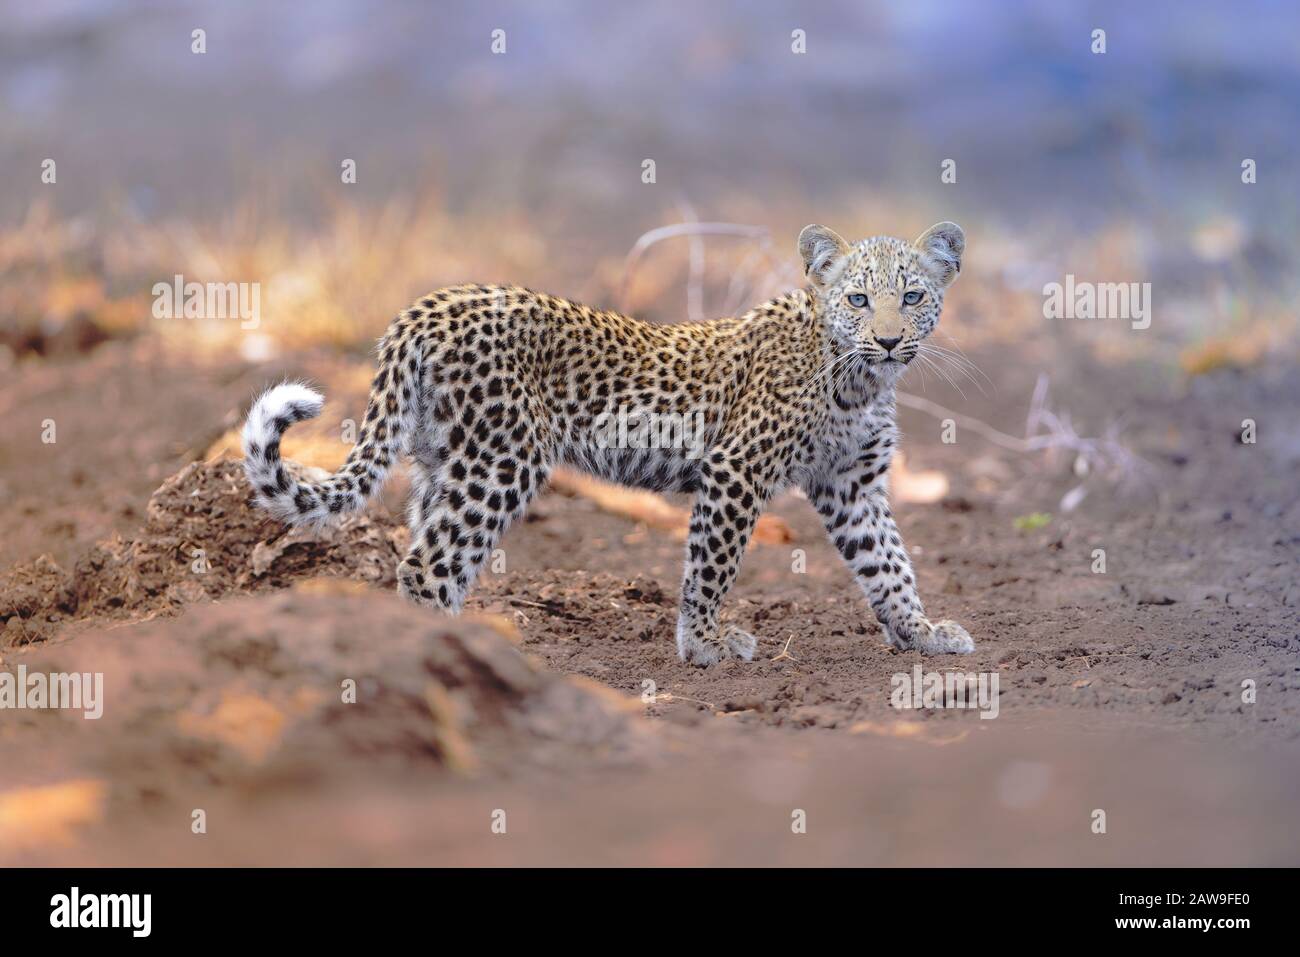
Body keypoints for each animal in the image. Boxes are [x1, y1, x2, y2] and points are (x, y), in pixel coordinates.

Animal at [241, 221, 975, 665]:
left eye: (912, 297)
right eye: (857, 299)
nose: (888, 338)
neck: (861, 377)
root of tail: (424, 309)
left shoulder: (852, 484)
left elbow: (890, 563)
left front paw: (920, 631)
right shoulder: (736, 470)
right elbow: (711, 567)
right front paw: (704, 644)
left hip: (443, 460)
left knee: (425, 554)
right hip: (500, 461)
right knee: (429, 565)